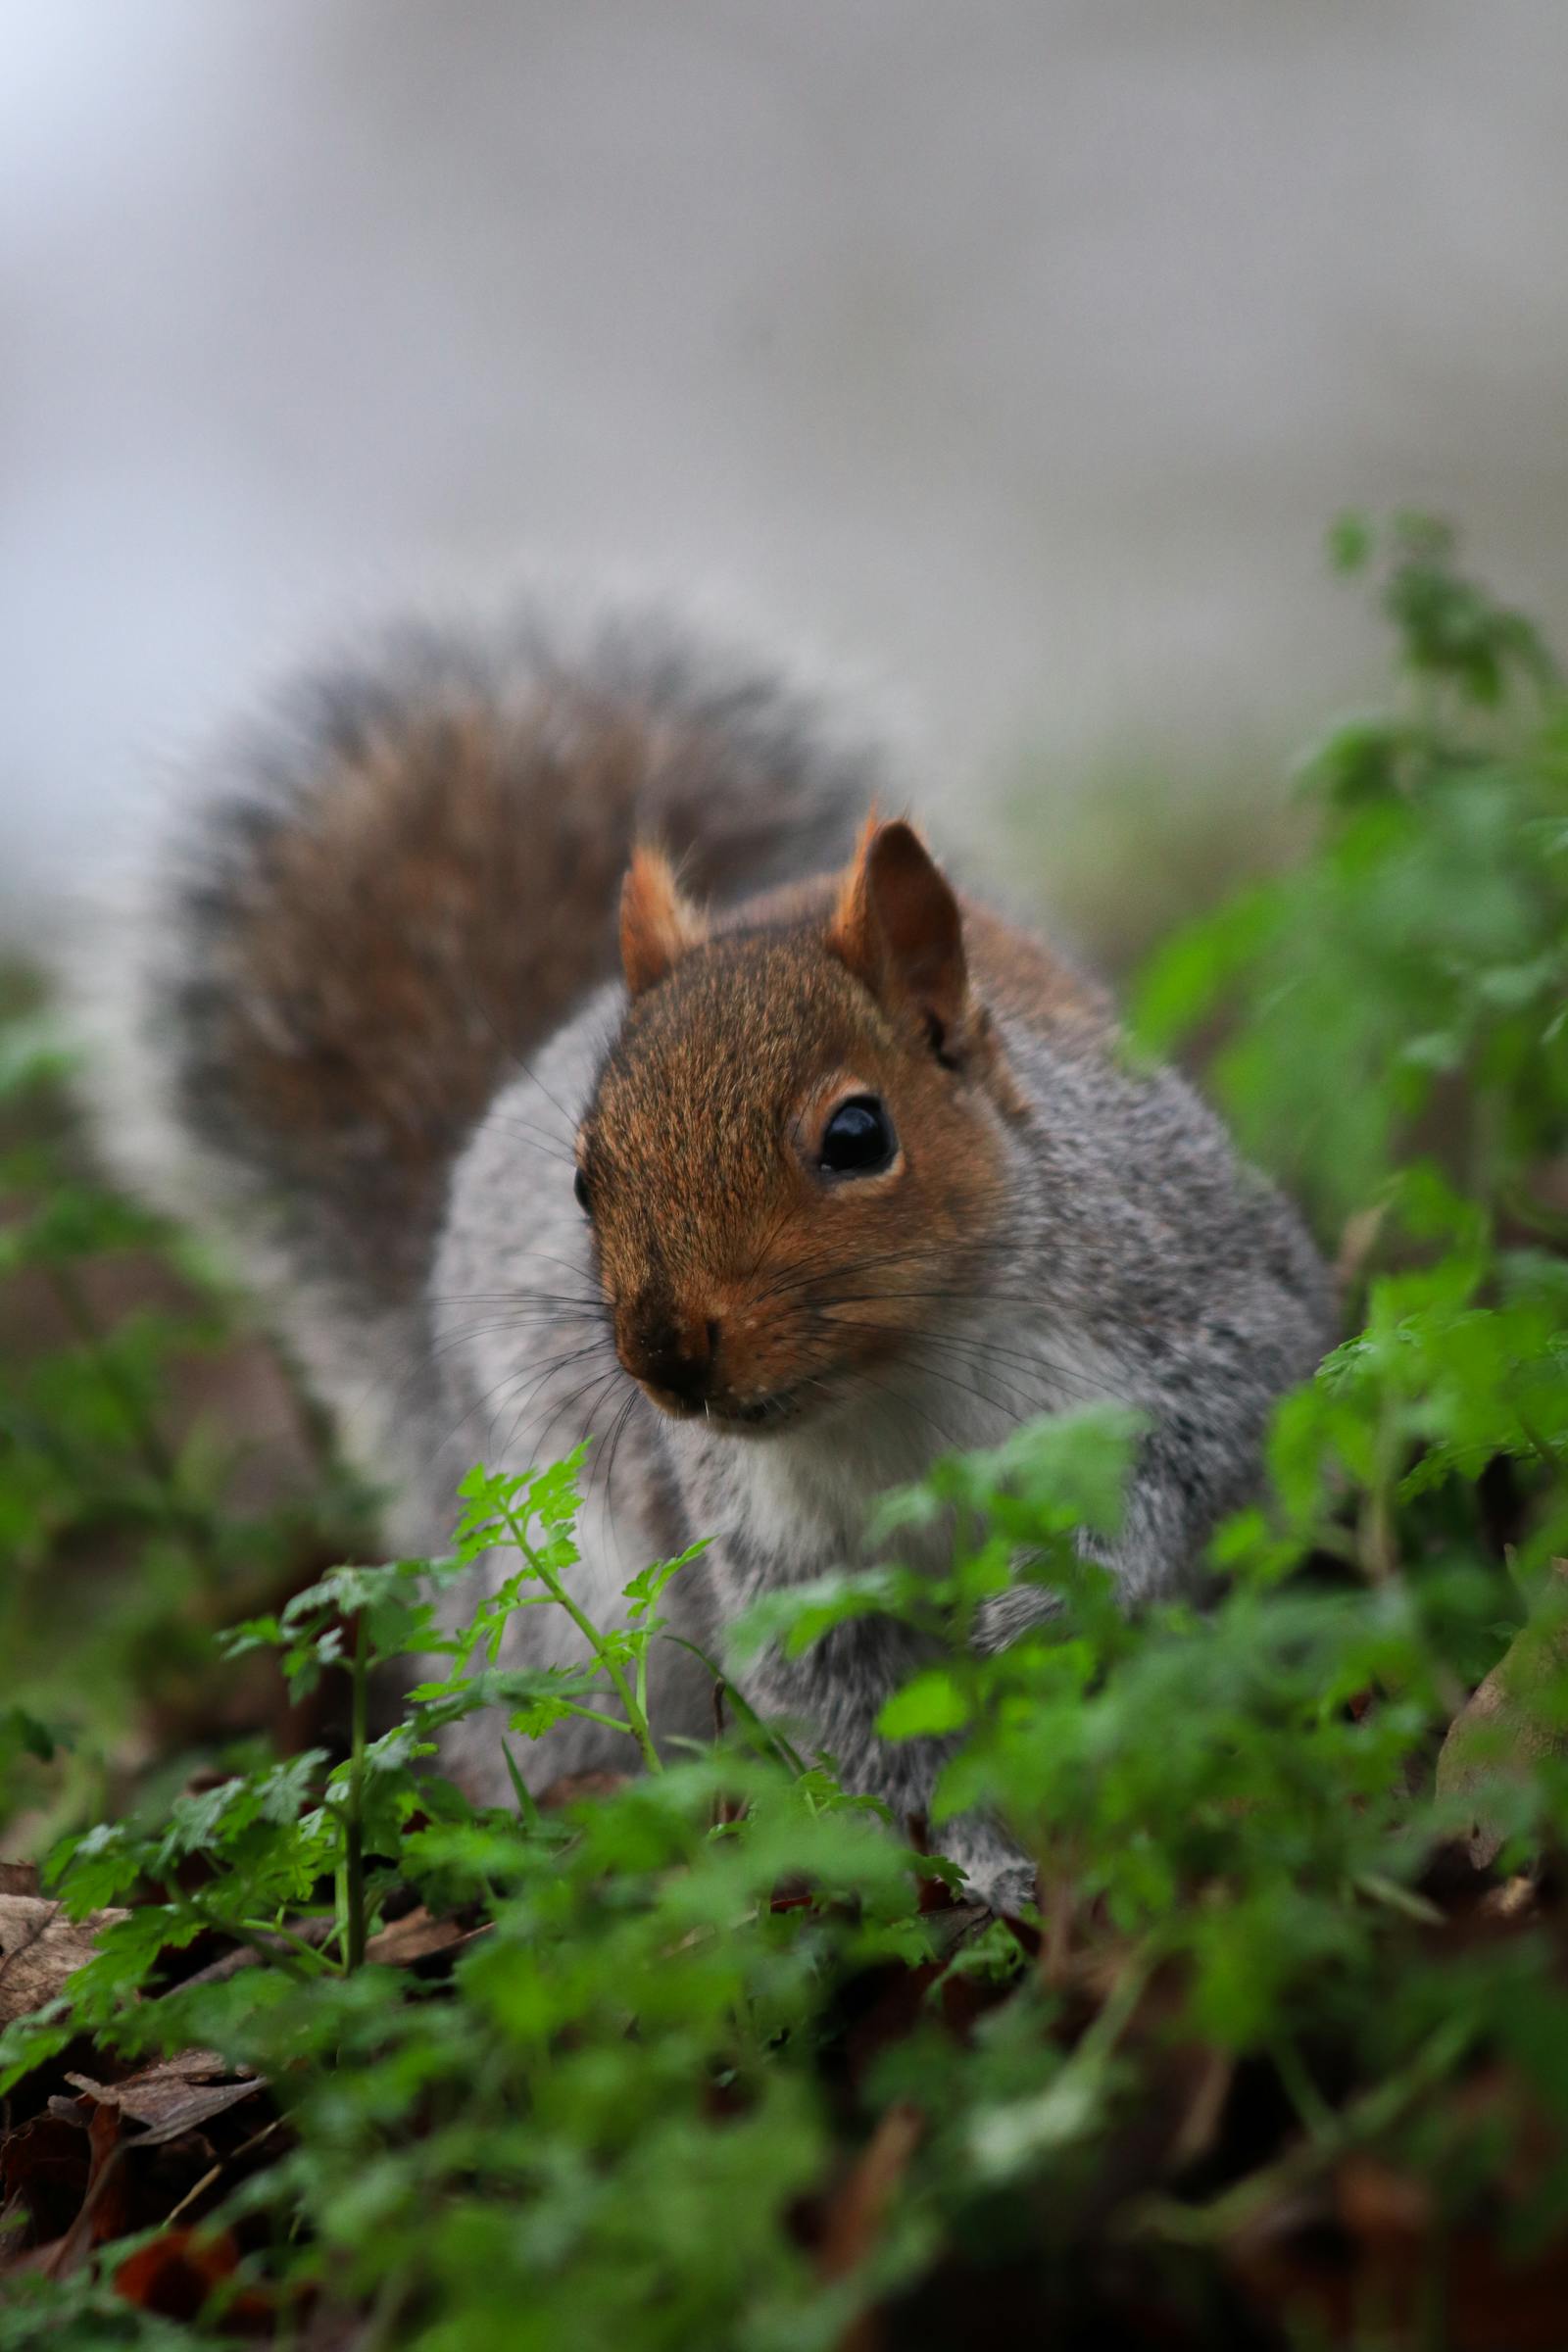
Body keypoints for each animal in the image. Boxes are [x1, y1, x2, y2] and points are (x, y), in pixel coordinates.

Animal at [80, 593, 1332, 1908]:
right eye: (584, 1177)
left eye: (857, 1136)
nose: (666, 1358)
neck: (902, 1386)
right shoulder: (785, 1555)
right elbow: (859, 1710)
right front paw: (972, 1856)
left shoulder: (1196, 1325)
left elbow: (1180, 1482)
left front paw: (1030, 1613)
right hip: (560, 1594)